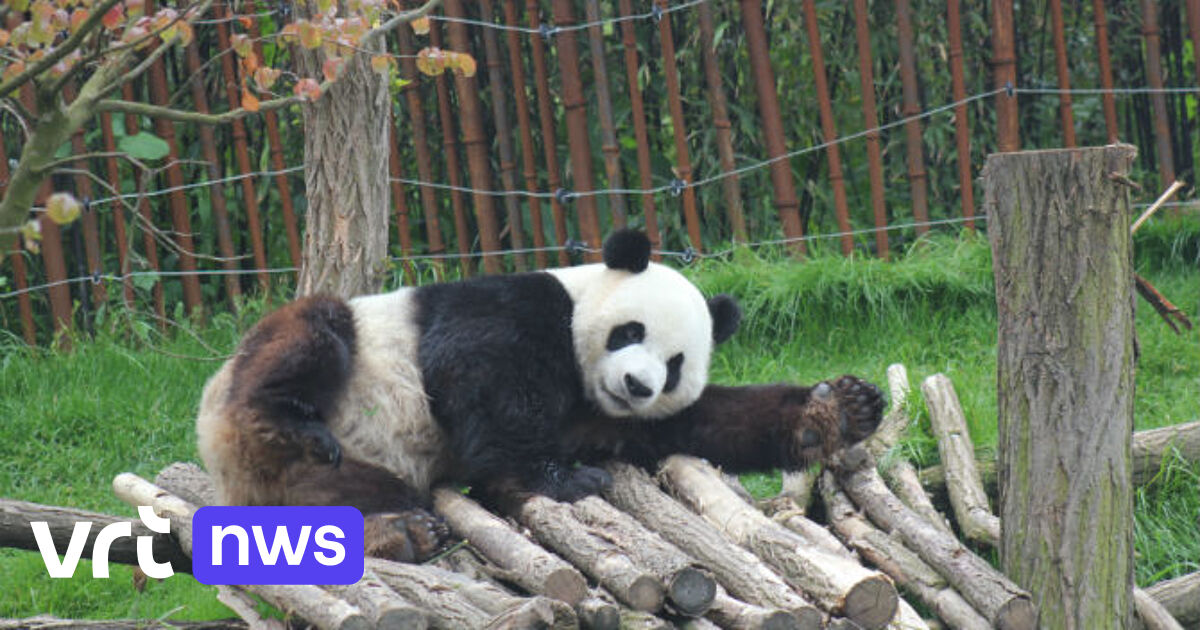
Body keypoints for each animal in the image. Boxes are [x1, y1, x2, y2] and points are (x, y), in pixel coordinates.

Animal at [196, 230, 884, 562]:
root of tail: (230, 467)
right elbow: (478, 377)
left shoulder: (614, 417)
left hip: (325, 479)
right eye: (630, 332)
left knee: (347, 502)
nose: (637, 385)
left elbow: (705, 422)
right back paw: (290, 421)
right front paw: (567, 480)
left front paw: (841, 410)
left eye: (675, 365)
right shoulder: (513, 308)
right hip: (284, 377)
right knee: (312, 335)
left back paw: (398, 534)